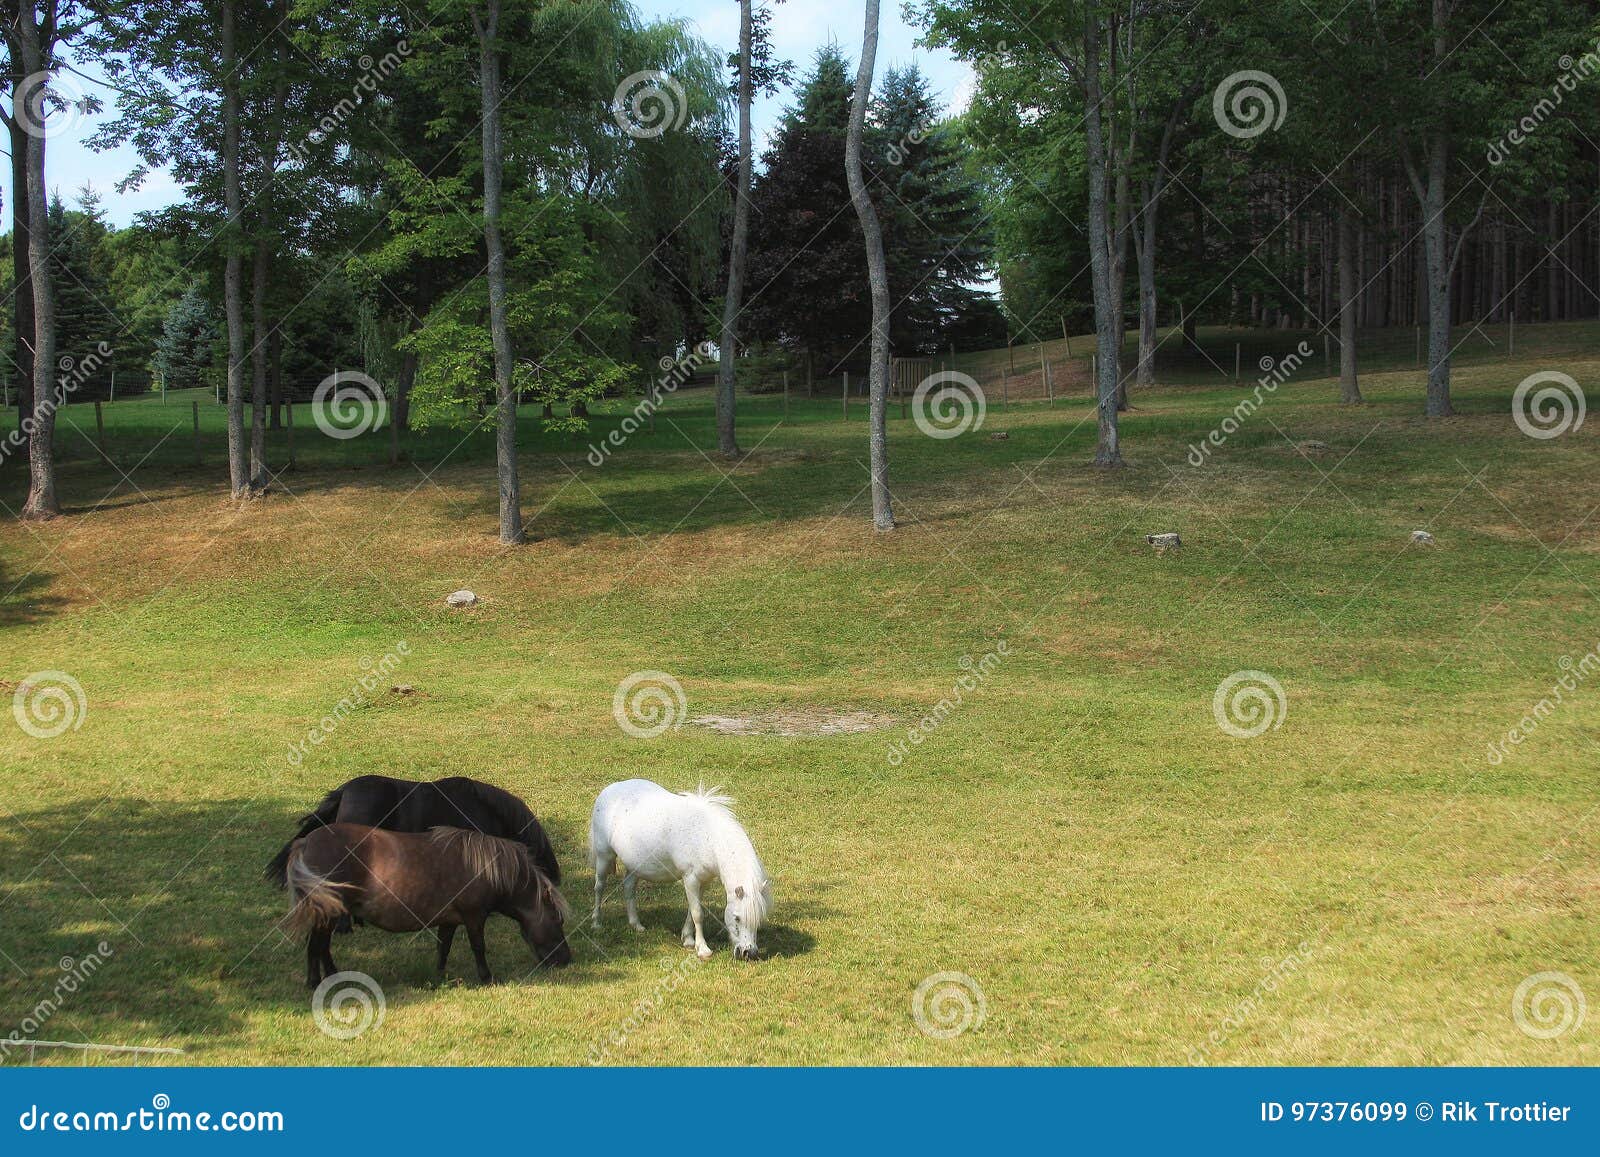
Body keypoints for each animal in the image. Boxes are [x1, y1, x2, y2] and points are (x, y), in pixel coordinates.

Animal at [286, 823, 572, 987]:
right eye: (558, 920)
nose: (566, 960)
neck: (484, 867)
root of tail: (306, 841)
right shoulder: (474, 917)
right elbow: (478, 947)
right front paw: (487, 978)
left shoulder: (450, 920)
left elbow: (443, 948)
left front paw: (440, 975)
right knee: (316, 945)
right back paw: (315, 982)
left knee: (322, 946)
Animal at [588, 779, 771, 961]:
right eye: (737, 918)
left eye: (759, 918)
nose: (749, 953)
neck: (707, 837)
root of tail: (609, 789)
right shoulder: (690, 879)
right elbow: (697, 913)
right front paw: (703, 949)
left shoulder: (703, 881)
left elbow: (692, 910)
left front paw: (688, 939)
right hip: (604, 856)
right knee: (599, 887)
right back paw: (596, 923)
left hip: (635, 865)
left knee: (628, 887)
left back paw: (636, 925)